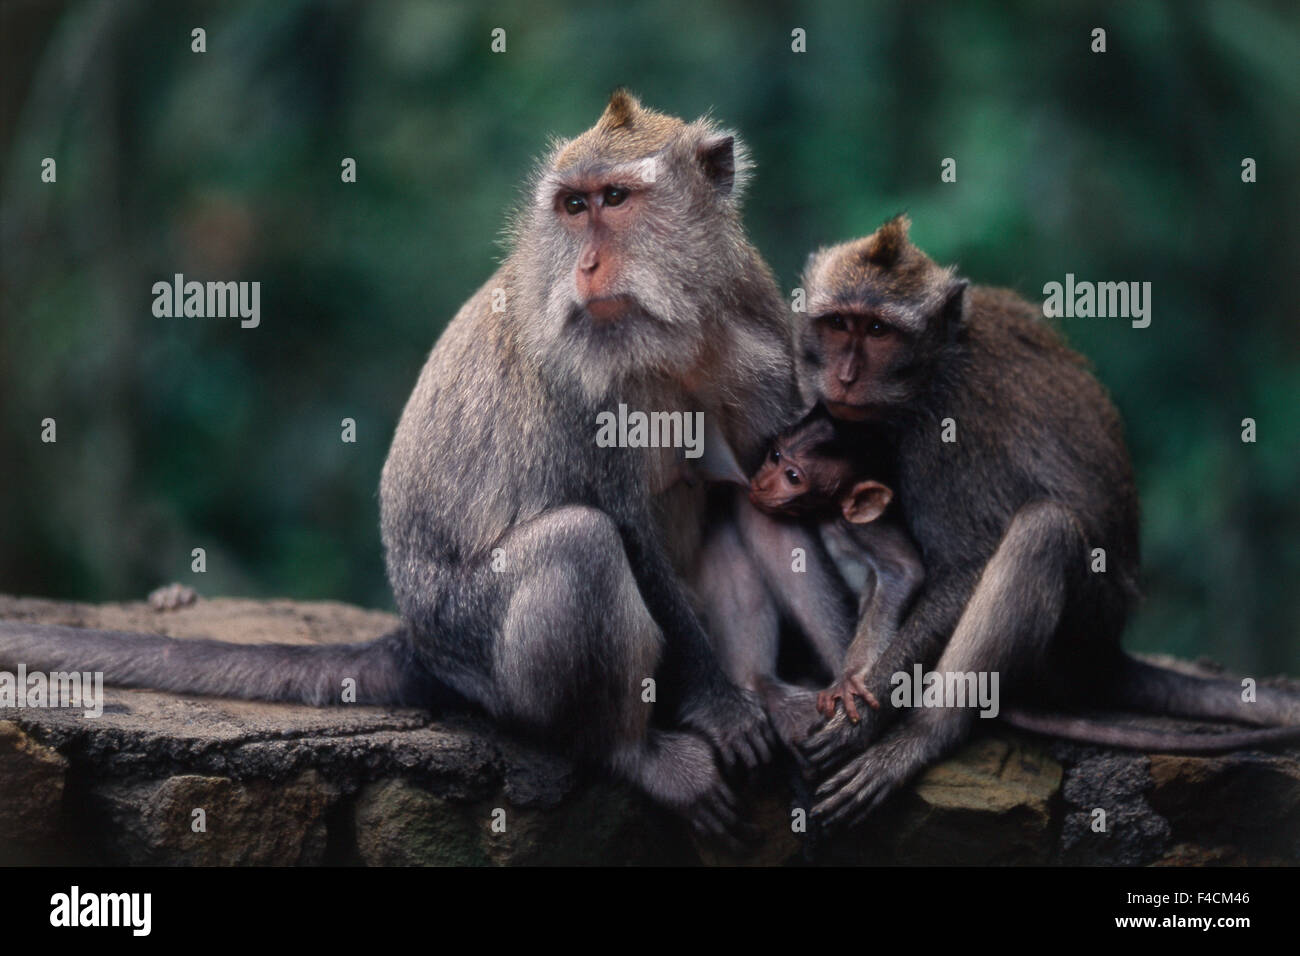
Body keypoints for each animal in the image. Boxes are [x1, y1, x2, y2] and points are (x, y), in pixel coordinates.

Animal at [0, 92, 860, 839]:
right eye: (572, 207)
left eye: (615, 198)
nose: (585, 269)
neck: (675, 331)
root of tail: (417, 640)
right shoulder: (579, 385)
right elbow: (627, 534)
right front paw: (719, 709)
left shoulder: (761, 328)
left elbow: (782, 499)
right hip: (477, 648)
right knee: (580, 545)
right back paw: (633, 751)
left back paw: (768, 692)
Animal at [790, 215, 1300, 827]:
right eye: (839, 324)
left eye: (878, 331)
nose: (845, 376)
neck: (932, 367)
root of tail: (1108, 653)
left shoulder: (944, 428)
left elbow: (964, 567)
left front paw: (868, 712)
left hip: (1078, 632)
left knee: (1045, 531)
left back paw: (925, 736)